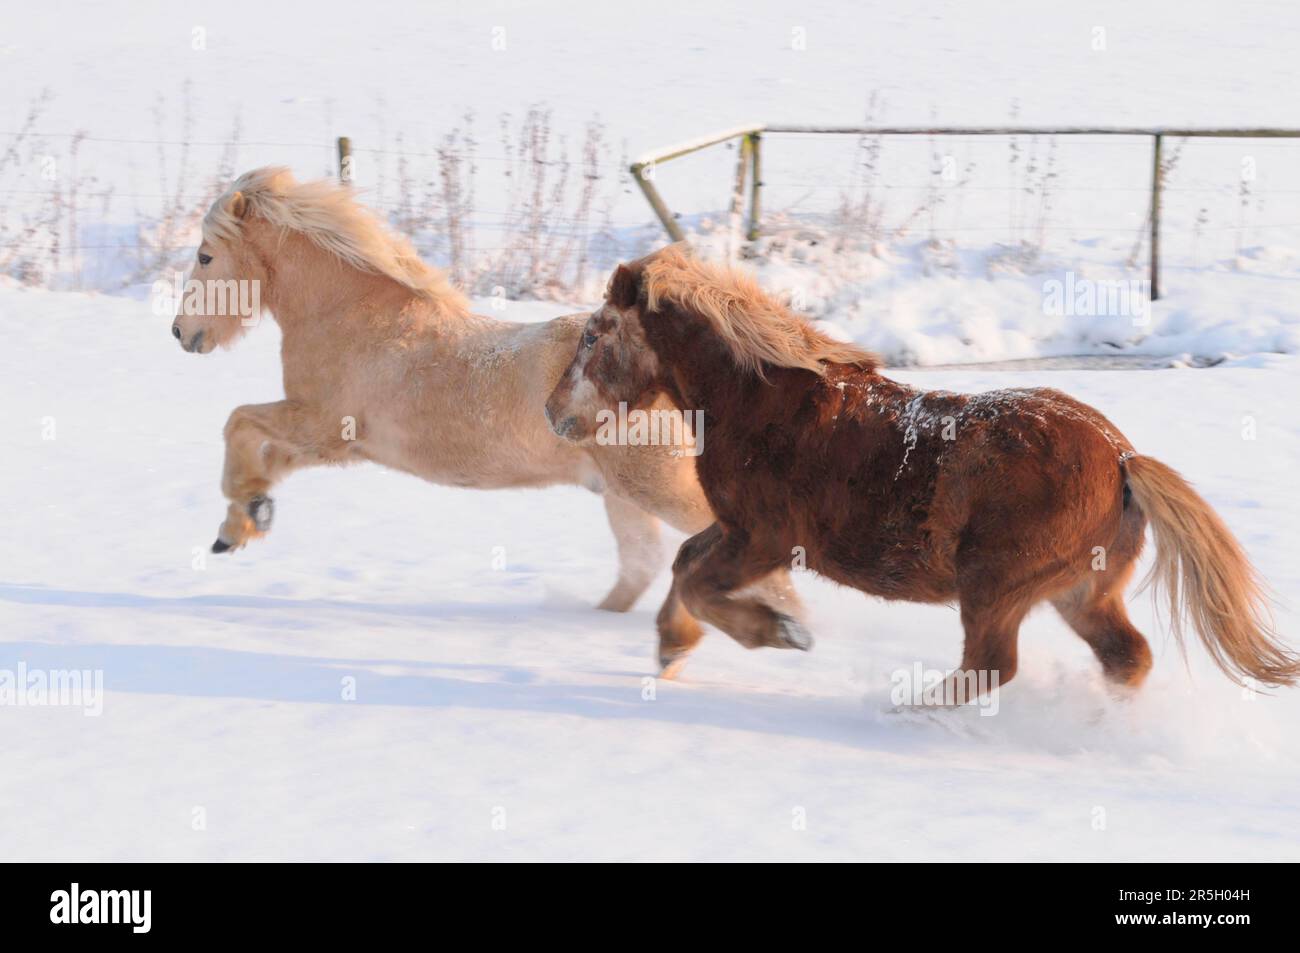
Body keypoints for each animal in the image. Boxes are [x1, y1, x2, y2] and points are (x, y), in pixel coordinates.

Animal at [169, 167, 800, 631]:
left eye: (204, 256)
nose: (181, 333)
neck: (353, 318)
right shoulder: (336, 445)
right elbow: (268, 458)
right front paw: (245, 521)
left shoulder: (322, 423)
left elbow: (238, 423)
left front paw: (238, 518)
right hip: (624, 494)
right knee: (641, 565)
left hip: (657, 487)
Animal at [544, 244, 1299, 698]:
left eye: (595, 335)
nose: (555, 413)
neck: (761, 401)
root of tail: (1121, 458)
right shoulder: (734, 530)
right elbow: (683, 564)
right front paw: (672, 650)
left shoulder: (763, 537)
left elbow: (700, 582)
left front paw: (779, 633)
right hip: (1080, 591)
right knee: (1126, 658)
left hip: (995, 586)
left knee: (992, 666)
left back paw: (906, 712)